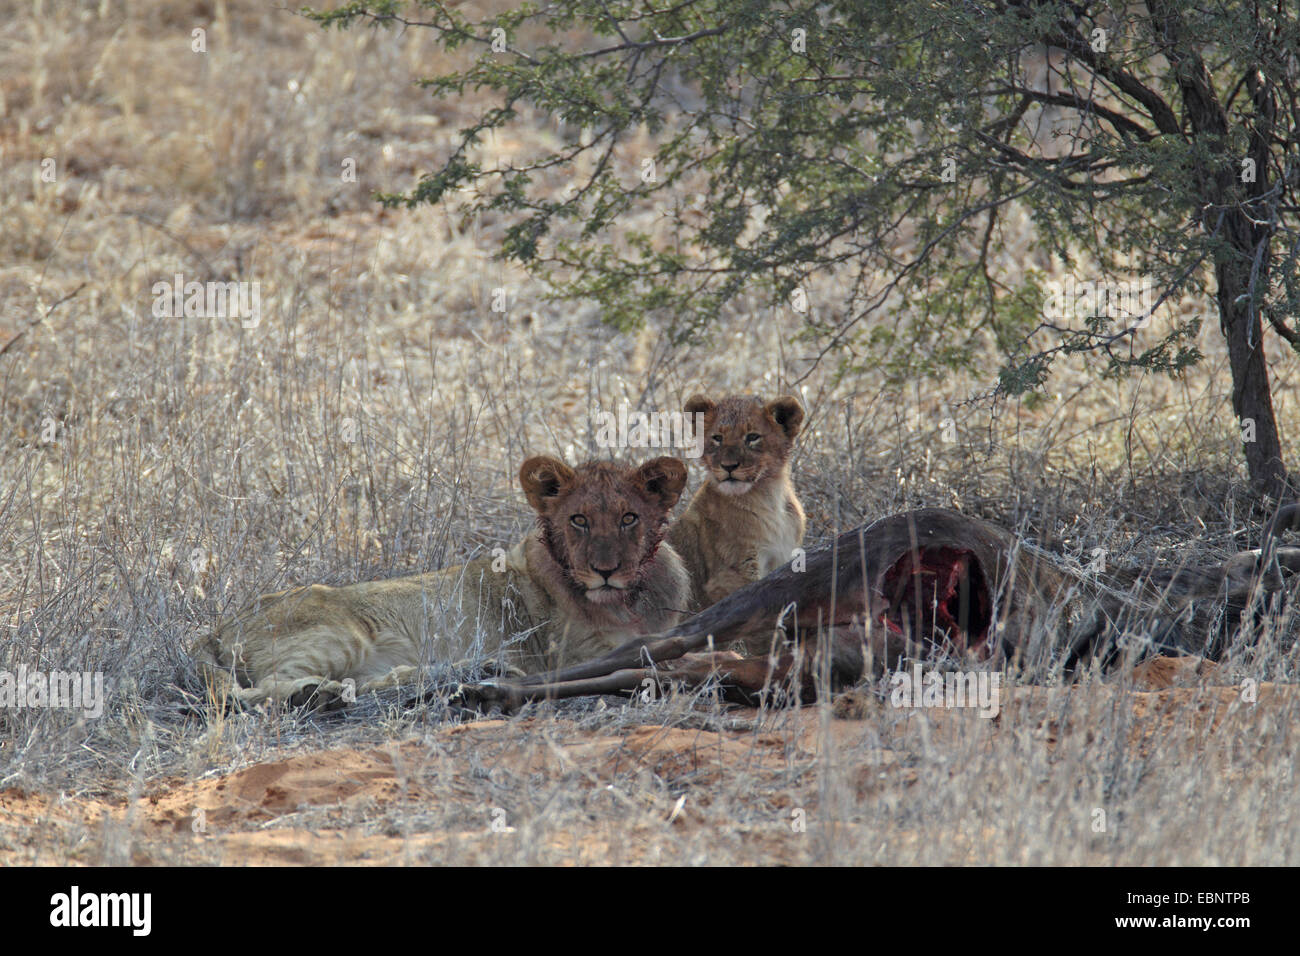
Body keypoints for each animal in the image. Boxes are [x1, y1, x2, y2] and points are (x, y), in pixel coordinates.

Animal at [191, 454, 690, 708]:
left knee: (375, 682)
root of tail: (217, 628)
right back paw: (316, 694)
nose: (606, 570)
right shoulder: (575, 654)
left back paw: (476, 671)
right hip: (339, 634)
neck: (628, 601)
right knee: (256, 690)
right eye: (578, 520)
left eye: (629, 518)